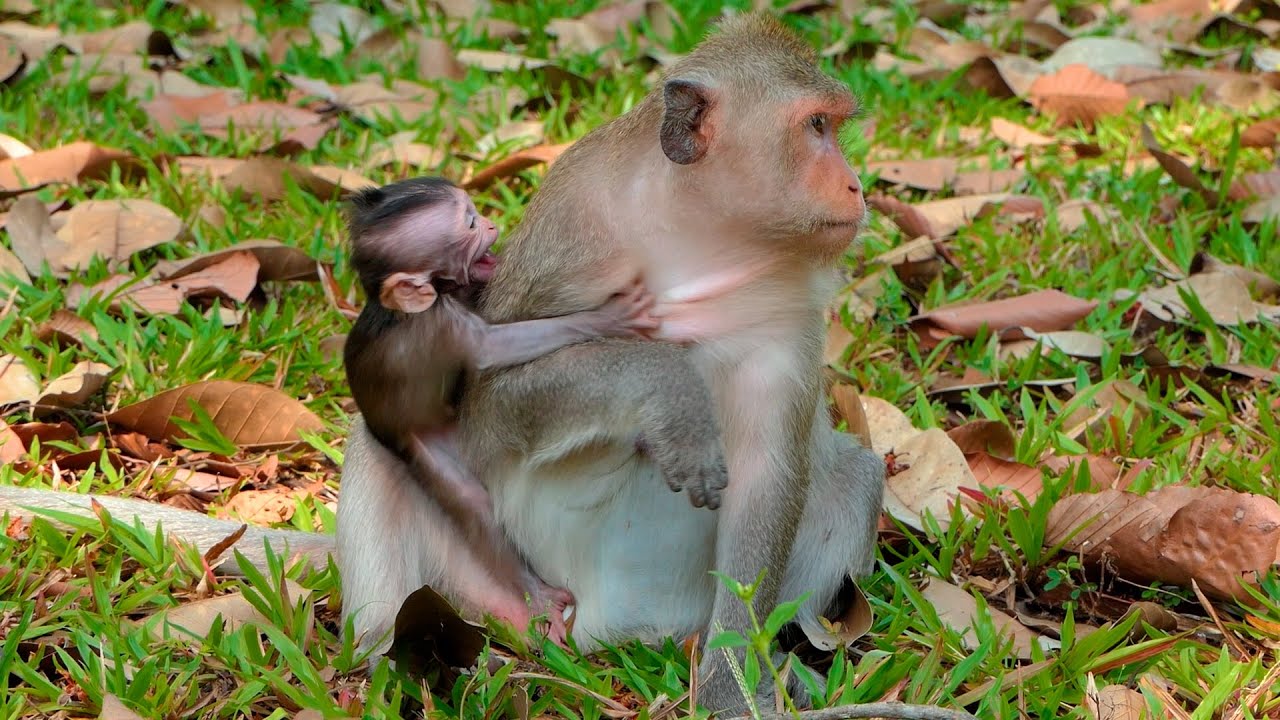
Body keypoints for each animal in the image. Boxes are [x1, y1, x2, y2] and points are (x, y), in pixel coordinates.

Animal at [340, 176, 663, 643]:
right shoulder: (442, 324)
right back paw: (536, 593)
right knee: (473, 505)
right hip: (423, 444)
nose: (492, 224)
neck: (399, 312)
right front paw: (608, 317)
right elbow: (495, 349)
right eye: (470, 223)